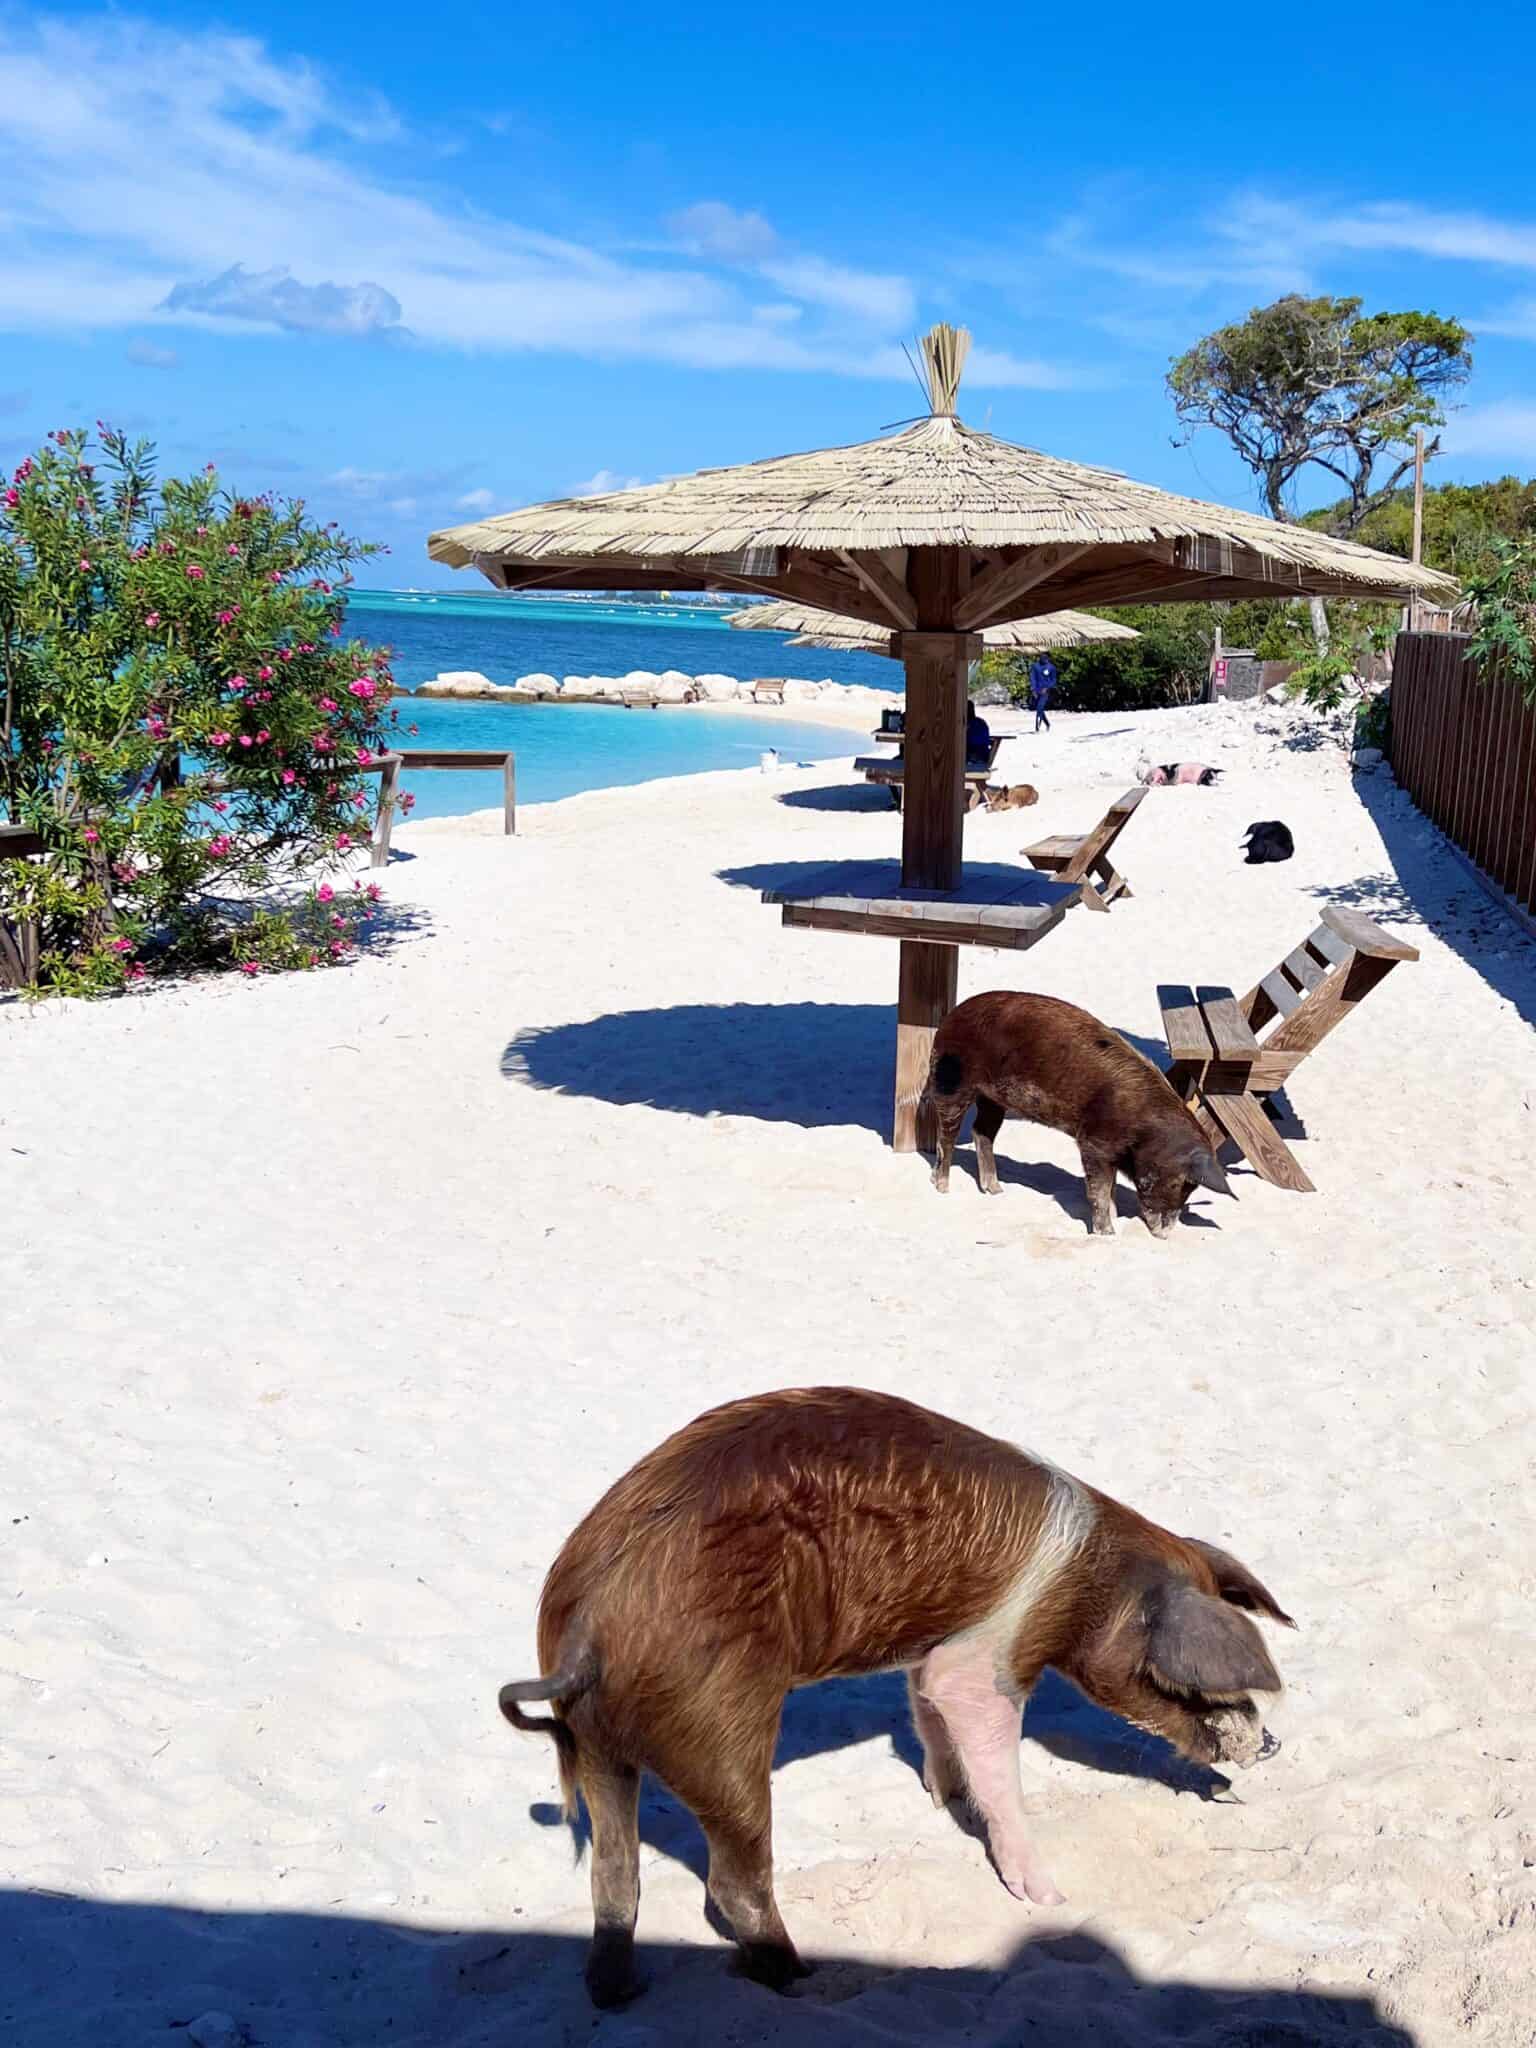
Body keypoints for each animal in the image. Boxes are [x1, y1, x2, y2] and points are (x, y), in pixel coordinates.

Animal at [500, 1387, 1293, 2006]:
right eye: (1176, 1681)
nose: (1269, 1744)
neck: (1084, 1585)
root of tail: (588, 1631)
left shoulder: (929, 1652)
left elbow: (927, 1714)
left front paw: (948, 1800)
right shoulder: (984, 1656)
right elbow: (985, 1745)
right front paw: (1051, 1899)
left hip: (594, 1747)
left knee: (613, 1873)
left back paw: (619, 1993)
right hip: (722, 1730)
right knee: (732, 1880)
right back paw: (802, 1977)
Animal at [924, 991, 1231, 1235]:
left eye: (1190, 1190)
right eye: (1177, 1184)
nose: (1165, 1235)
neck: (1145, 1130)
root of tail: (949, 1018)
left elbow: (1110, 1189)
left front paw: (1116, 1218)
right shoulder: (1095, 1142)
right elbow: (1098, 1190)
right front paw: (1107, 1234)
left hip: (993, 1098)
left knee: (982, 1132)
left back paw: (996, 1190)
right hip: (952, 1079)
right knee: (947, 1134)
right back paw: (942, 1187)